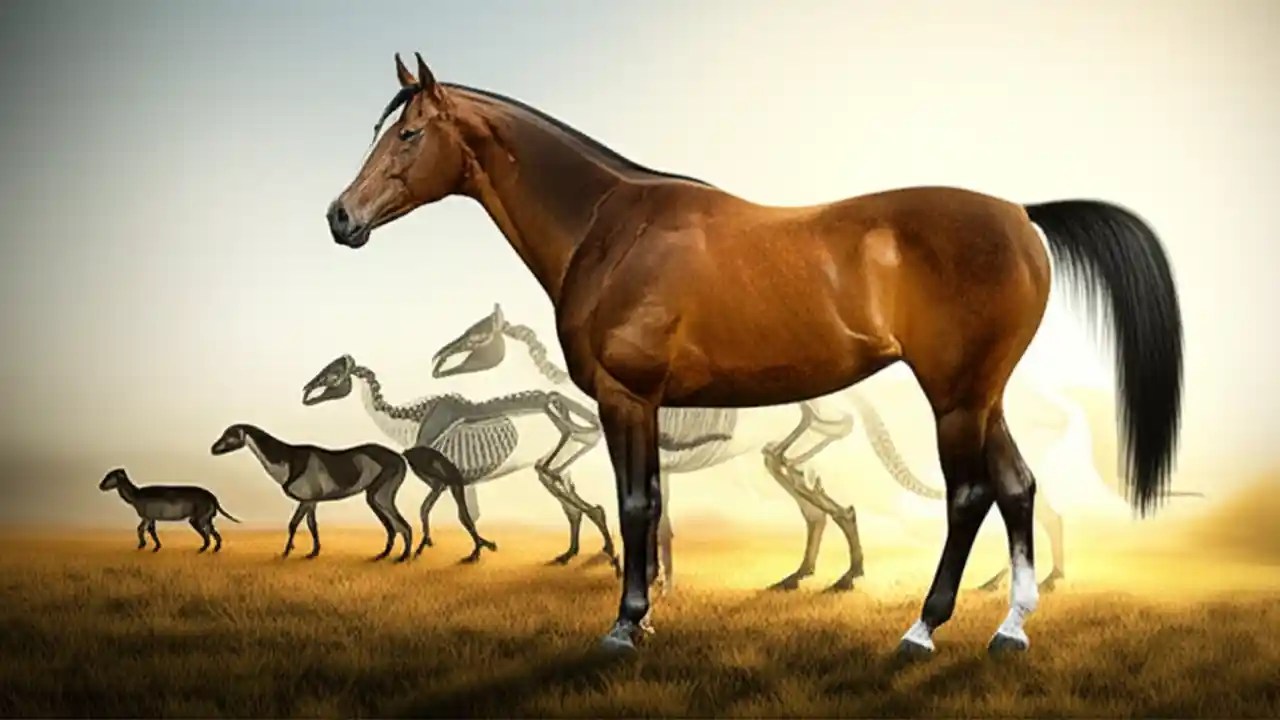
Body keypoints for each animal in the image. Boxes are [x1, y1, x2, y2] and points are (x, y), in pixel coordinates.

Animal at [324, 53, 1183, 657]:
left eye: (408, 133)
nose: (341, 217)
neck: (610, 226)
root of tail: (1020, 213)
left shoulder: (626, 397)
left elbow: (636, 506)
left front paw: (626, 626)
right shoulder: (646, 407)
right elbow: (652, 507)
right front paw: (644, 617)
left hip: (956, 397)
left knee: (970, 495)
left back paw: (921, 629)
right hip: (983, 395)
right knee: (1018, 487)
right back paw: (1010, 629)